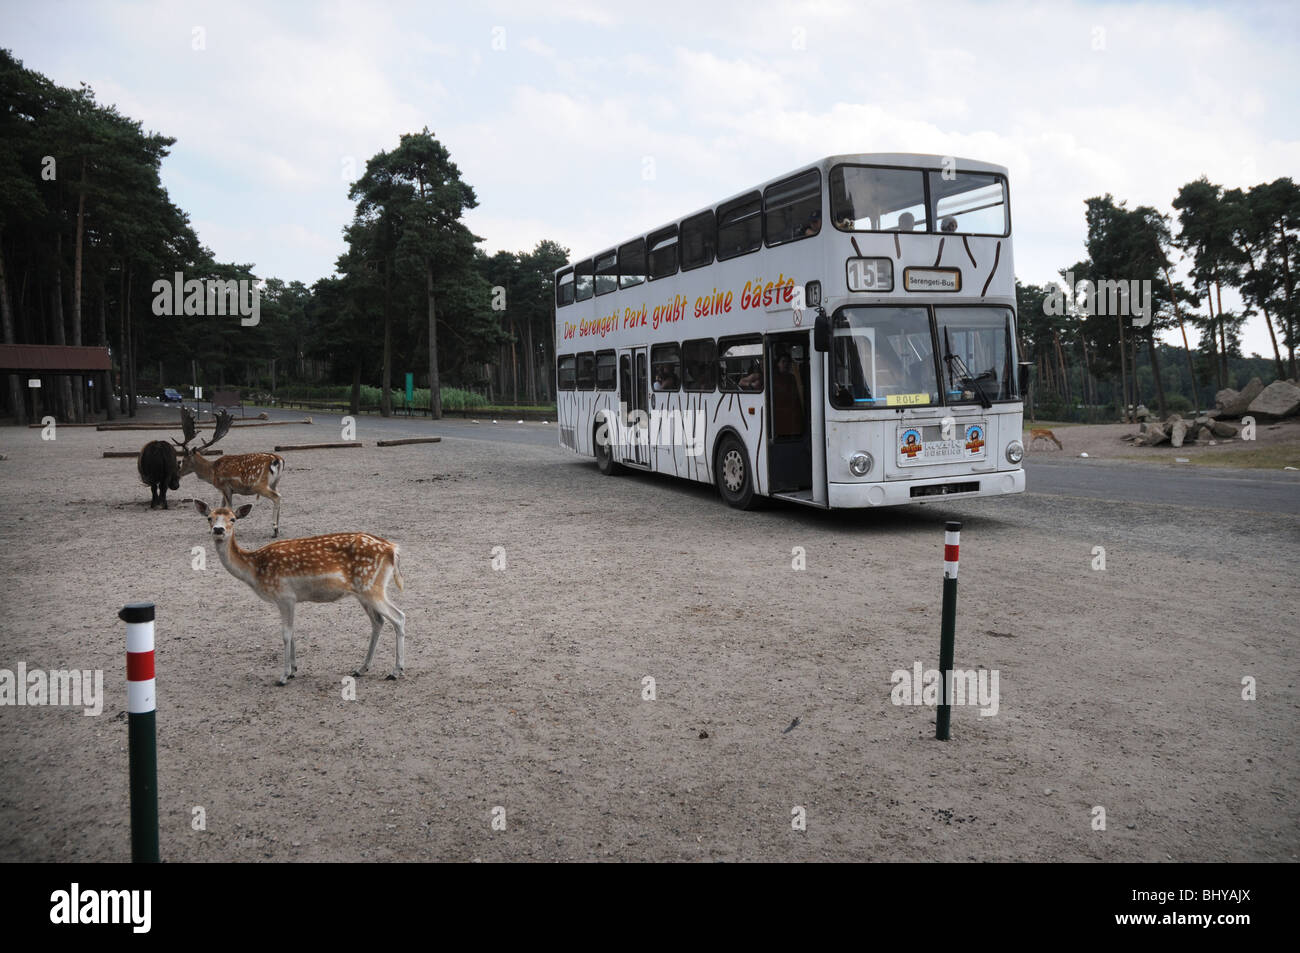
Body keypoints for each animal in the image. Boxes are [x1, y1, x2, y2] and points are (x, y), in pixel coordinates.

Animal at [176, 407, 287, 536]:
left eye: (182, 460)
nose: (178, 473)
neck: (212, 472)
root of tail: (278, 459)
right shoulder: (224, 490)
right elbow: (221, 506)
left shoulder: (225, 487)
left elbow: (229, 508)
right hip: (275, 483)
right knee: (280, 495)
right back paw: (278, 528)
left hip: (259, 484)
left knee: (277, 497)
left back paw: (275, 528)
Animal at [194, 501, 406, 686]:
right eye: (209, 518)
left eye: (233, 519)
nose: (218, 530)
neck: (254, 569)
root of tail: (392, 549)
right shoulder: (290, 599)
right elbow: (293, 631)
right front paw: (294, 670)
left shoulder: (284, 596)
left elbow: (286, 633)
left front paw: (283, 676)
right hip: (363, 591)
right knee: (378, 621)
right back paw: (361, 668)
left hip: (371, 587)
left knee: (399, 616)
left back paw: (396, 671)